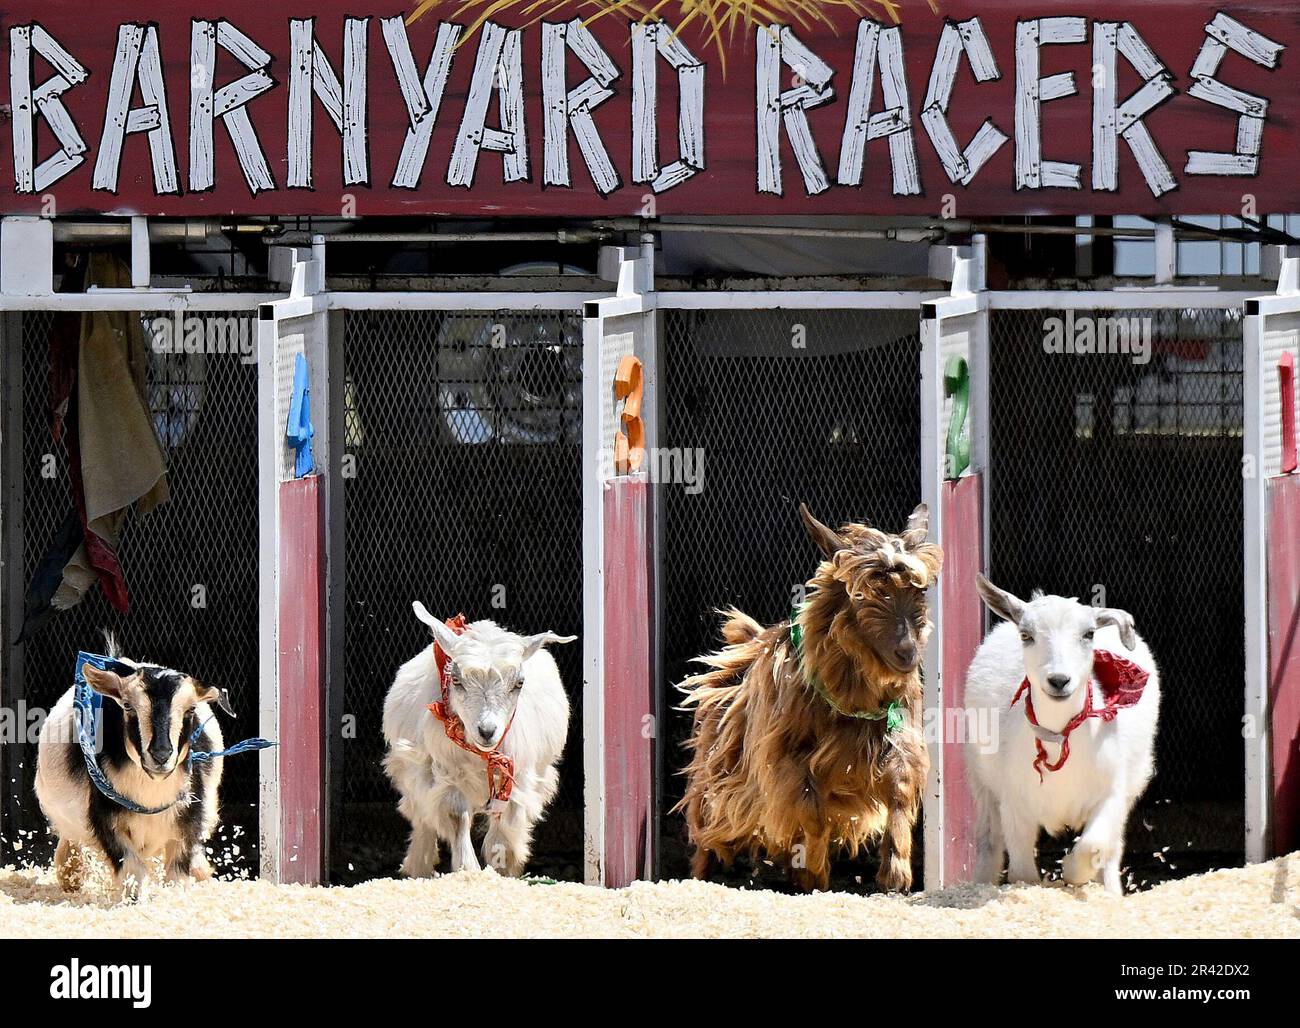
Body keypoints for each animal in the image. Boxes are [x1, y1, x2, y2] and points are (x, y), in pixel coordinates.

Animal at [35, 637, 229, 901]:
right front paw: (134, 899)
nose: (160, 755)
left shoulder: (189, 817)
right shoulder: (106, 822)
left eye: (190, 710)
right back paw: (69, 878)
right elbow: (132, 869)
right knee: (70, 840)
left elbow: (177, 872)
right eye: (127, 706)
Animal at [383, 603, 575, 877]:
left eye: (519, 683)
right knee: (421, 817)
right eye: (456, 680)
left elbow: (504, 828)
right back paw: (419, 866)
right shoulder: (445, 771)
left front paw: (503, 869)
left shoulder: (516, 777)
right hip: (411, 771)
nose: (487, 730)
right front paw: (468, 868)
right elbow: (456, 815)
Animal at [676, 503, 942, 893]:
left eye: (919, 593)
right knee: (710, 832)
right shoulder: (785, 760)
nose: (907, 653)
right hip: (717, 785)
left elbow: (900, 789)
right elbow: (811, 811)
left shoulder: (898, 737)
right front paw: (815, 869)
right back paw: (702, 874)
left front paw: (895, 872)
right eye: (861, 595)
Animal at [964, 576, 1161, 894]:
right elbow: (1021, 870)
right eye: (1026, 635)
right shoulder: (1015, 801)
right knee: (989, 839)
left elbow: (1094, 845)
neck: (1059, 739)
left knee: (1113, 849)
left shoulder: (1110, 792)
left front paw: (1072, 873)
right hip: (980, 777)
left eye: (1089, 633)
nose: (1059, 680)